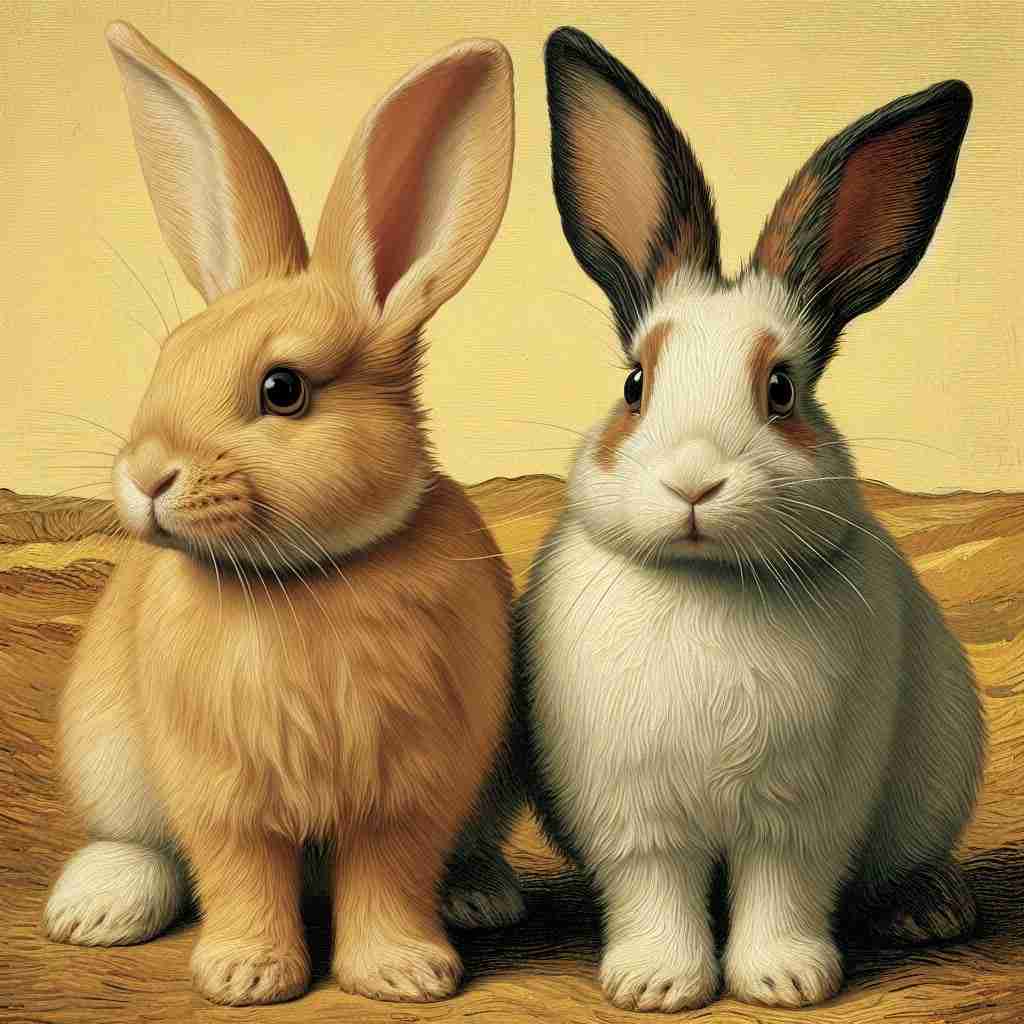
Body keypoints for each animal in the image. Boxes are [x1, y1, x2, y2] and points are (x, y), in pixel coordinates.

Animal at [43, 20, 522, 1006]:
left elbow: (390, 874)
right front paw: (246, 974)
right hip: (107, 755)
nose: (147, 475)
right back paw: (95, 911)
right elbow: (237, 871)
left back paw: (481, 897)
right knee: (141, 847)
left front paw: (403, 973)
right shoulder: (217, 788)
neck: (302, 578)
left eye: (283, 389)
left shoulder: (412, 786)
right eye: (169, 356)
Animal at [516, 25, 987, 1013]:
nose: (694, 483)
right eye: (635, 384)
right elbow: (655, 892)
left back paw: (930, 908)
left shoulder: (800, 815)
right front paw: (657, 984)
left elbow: (784, 892)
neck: (709, 586)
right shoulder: (636, 820)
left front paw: (786, 981)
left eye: (781, 390)